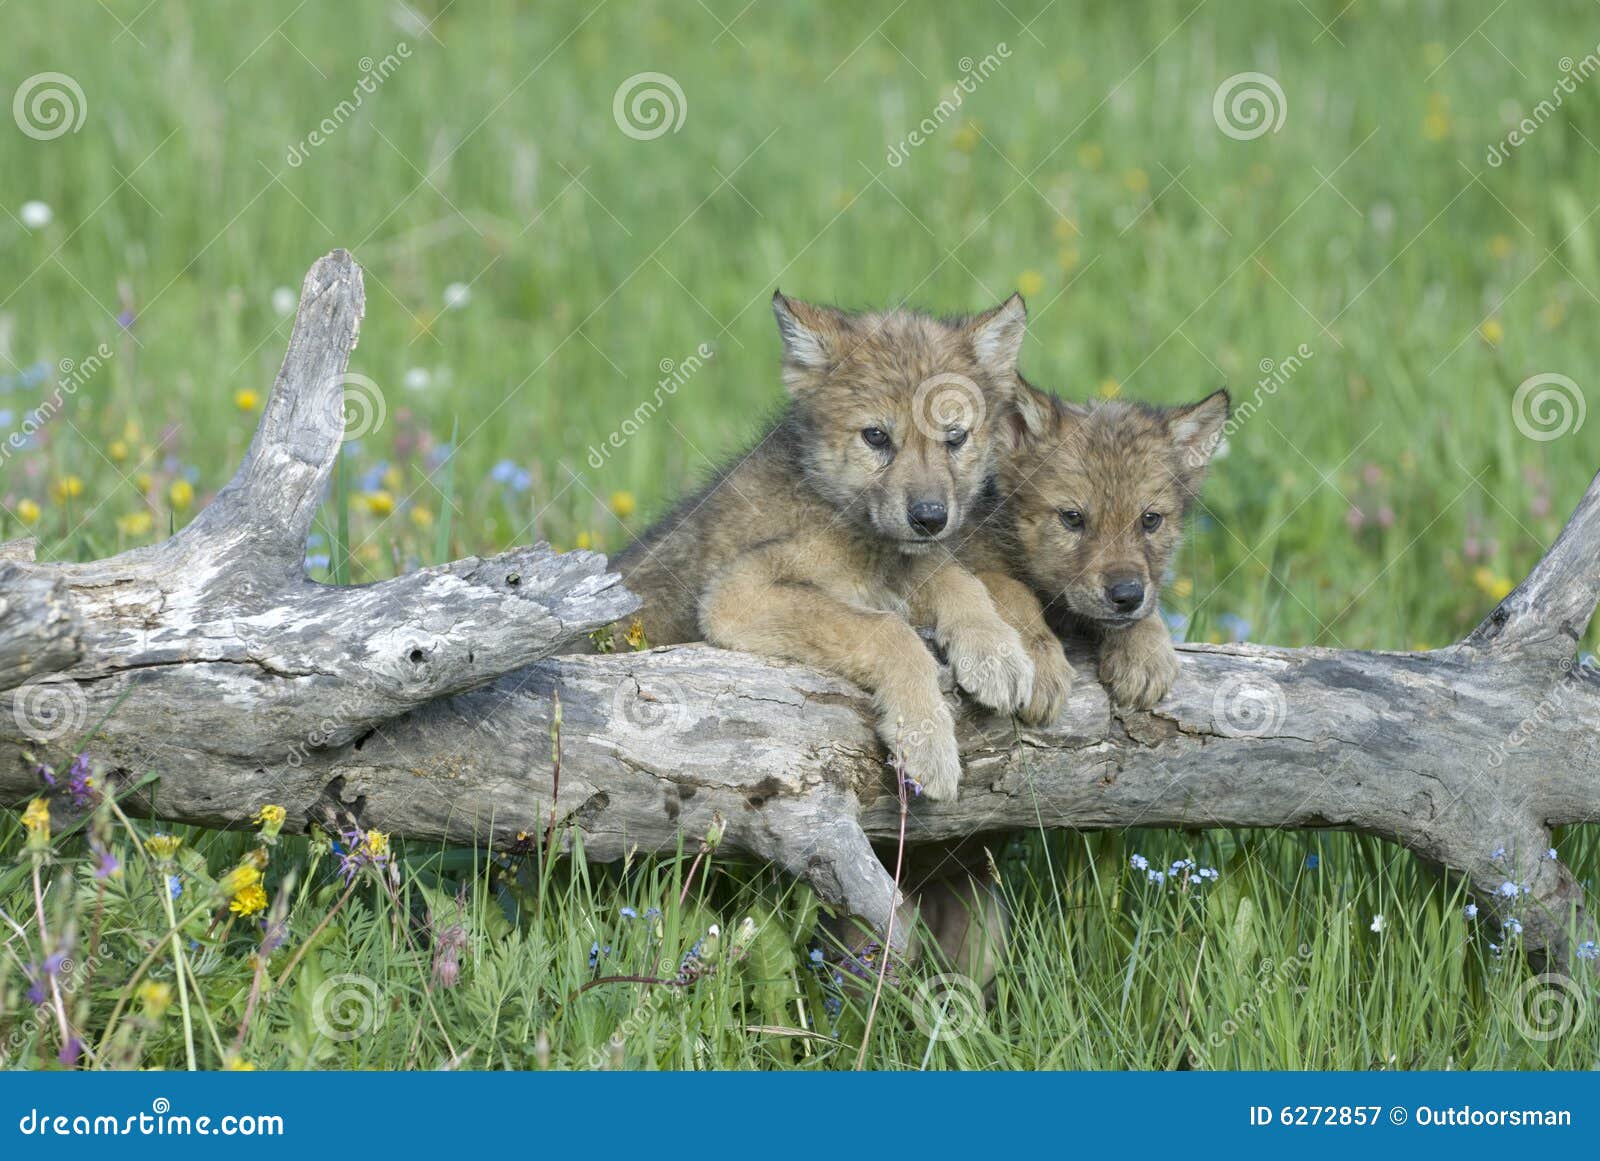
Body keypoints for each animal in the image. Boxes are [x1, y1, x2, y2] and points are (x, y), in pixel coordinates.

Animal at [612, 292, 1041, 800]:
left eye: (954, 438)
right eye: (876, 436)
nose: (930, 518)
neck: (831, 504)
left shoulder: (900, 565)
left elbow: (955, 577)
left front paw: (993, 649)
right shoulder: (736, 594)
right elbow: (888, 630)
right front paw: (927, 739)